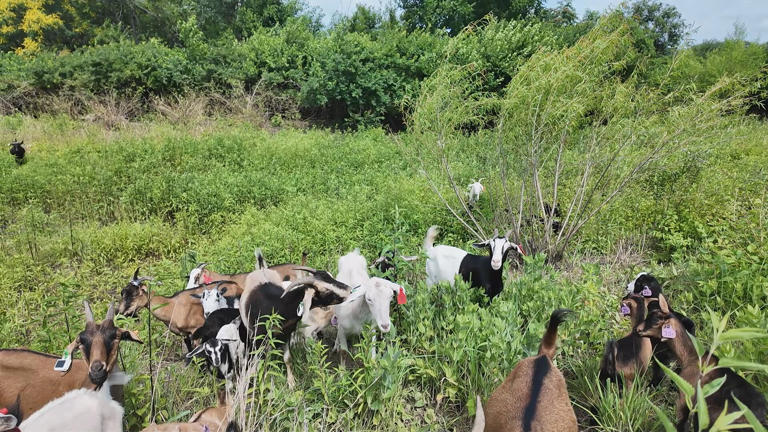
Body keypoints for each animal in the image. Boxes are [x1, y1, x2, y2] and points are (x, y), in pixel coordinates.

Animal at [636, 295, 768, 431]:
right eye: (648, 315)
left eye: (657, 322)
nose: (638, 330)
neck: (691, 357)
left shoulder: (686, 395)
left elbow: (682, 424)